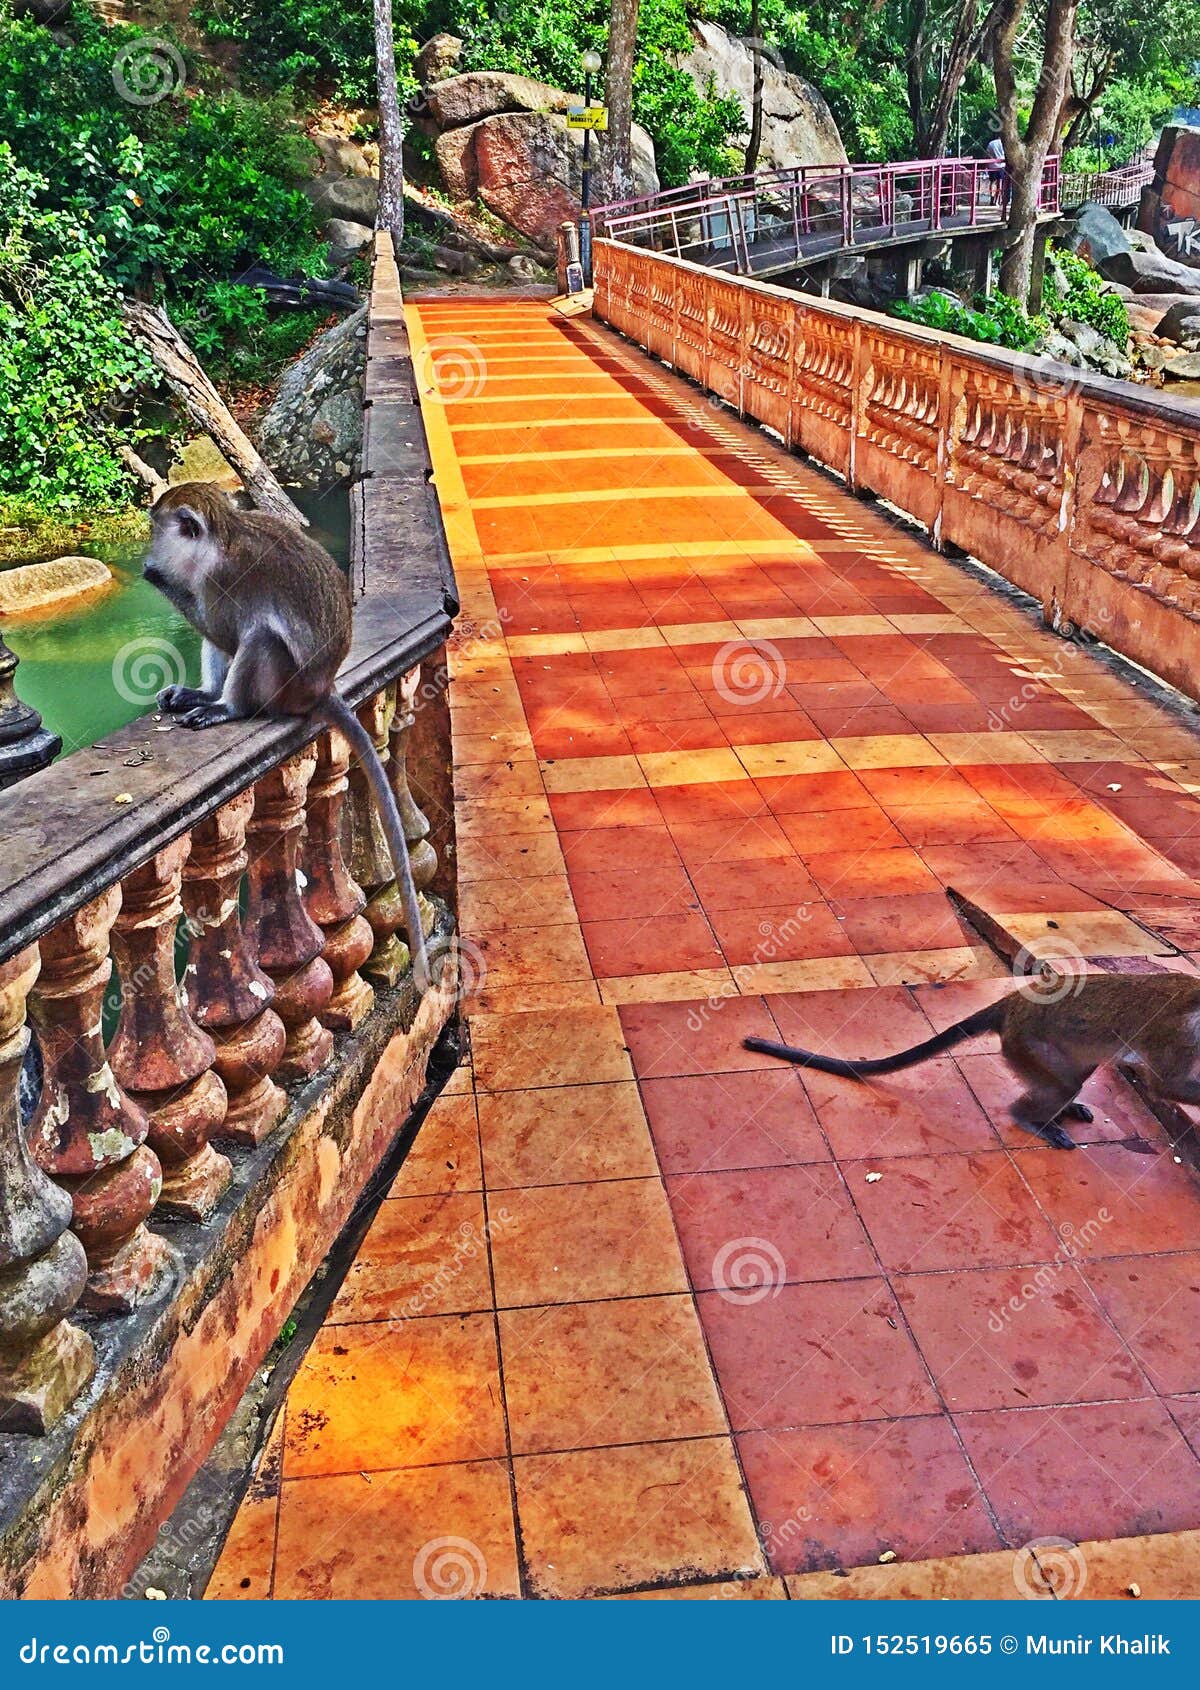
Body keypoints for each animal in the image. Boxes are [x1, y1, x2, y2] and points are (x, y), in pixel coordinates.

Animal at [142, 482, 430, 988]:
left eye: (159, 531)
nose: (150, 551)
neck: (221, 539)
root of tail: (321, 687)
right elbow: (220, 638)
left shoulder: (222, 578)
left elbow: (227, 631)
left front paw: (158, 576)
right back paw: (205, 696)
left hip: (286, 684)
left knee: (258, 637)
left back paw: (227, 708)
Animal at [743, 972, 1200, 1149]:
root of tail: (1014, 1002)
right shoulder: (1180, 1034)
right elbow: (1163, 1085)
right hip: (1026, 1042)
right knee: (1062, 1083)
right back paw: (1030, 1118)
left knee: (1073, 1073)